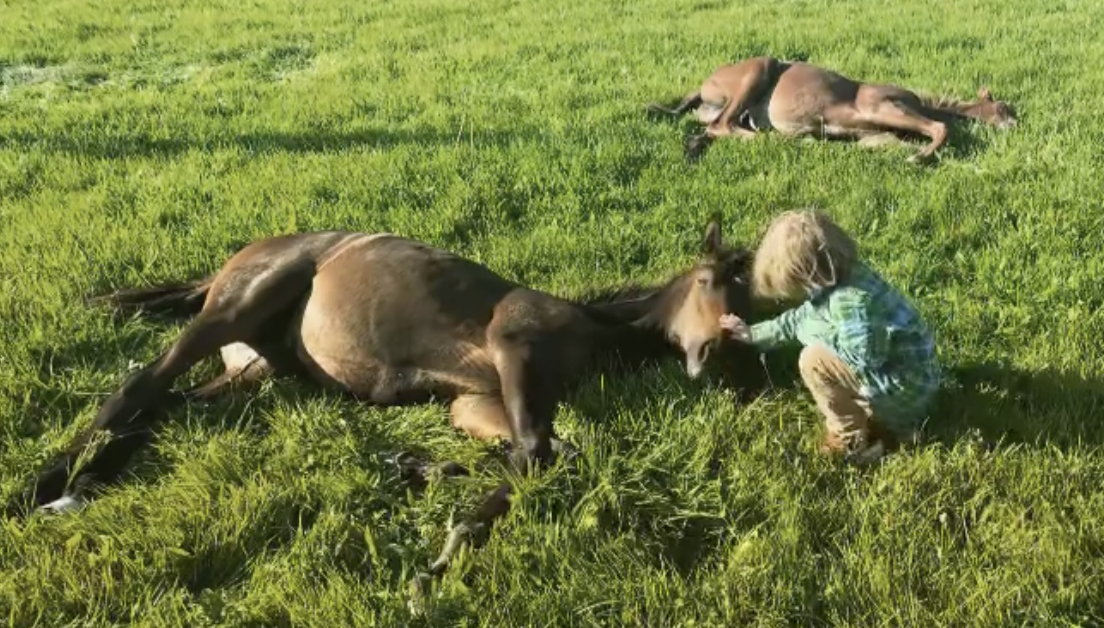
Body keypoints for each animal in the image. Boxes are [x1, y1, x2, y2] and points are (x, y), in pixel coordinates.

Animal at [8, 217, 762, 579]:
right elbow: (536, 452)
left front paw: (416, 472)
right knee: (137, 385)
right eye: (711, 282)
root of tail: (233, 261)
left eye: (753, 298)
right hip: (245, 300)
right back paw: (41, 489)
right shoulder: (513, 345)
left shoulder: (476, 403)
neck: (594, 327)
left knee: (162, 411)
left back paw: (82, 487)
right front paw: (443, 555)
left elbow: (543, 452)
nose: (733, 364)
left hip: (255, 372)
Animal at [648, 56, 1018, 162]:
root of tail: (704, 84)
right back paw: (798, 139)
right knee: (723, 125)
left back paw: (692, 146)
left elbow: (895, 142)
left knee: (710, 130)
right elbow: (941, 127)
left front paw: (916, 154)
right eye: (1004, 108)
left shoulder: (872, 136)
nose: (1016, 124)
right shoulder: (876, 107)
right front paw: (921, 157)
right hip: (760, 66)